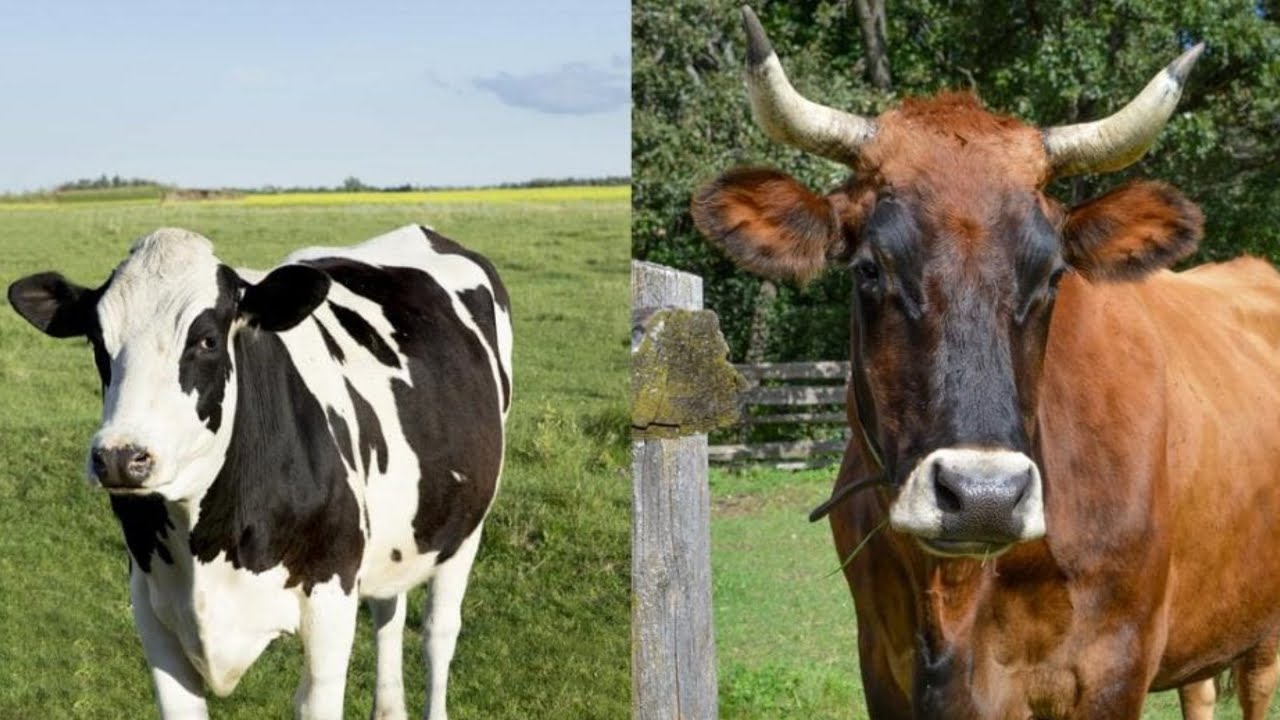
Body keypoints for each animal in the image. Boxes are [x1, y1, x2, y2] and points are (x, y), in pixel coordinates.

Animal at [7, 224, 512, 720]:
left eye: (207, 340)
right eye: (97, 341)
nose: (119, 457)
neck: (208, 541)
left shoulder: (329, 608)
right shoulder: (153, 616)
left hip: (465, 527)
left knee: (437, 634)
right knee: (389, 612)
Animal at [691, 8, 1280, 719]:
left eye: (1054, 275)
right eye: (869, 268)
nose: (983, 498)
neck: (954, 591)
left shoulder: (1115, 666)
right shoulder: (881, 661)